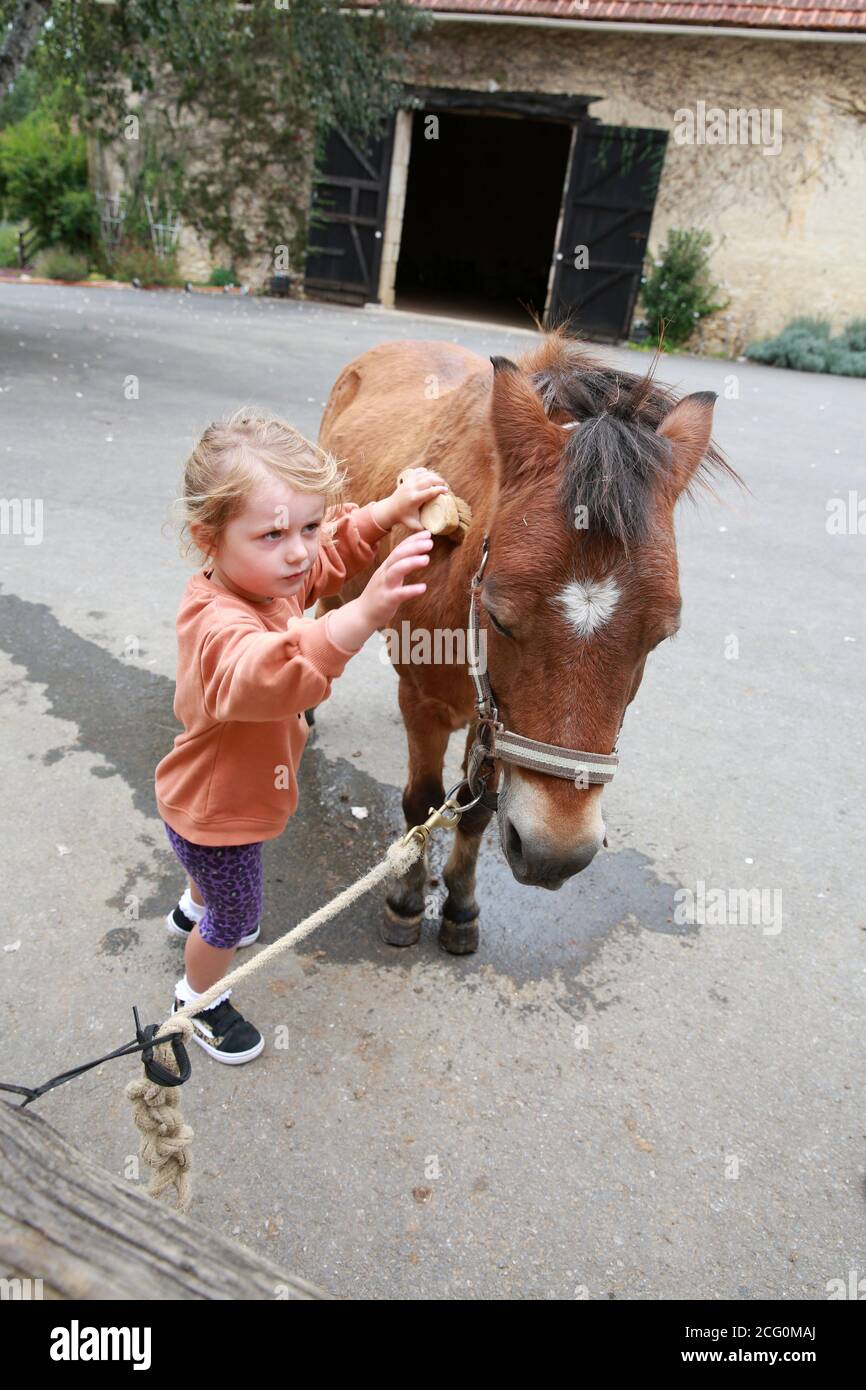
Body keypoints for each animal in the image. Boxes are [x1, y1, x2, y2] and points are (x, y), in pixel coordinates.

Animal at [316, 325, 738, 955]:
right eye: (498, 615)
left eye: (660, 637)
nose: (554, 853)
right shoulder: (424, 701)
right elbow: (421, 805)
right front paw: (407, 900)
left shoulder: (495, 720)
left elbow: (476, 813)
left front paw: (460, 905)